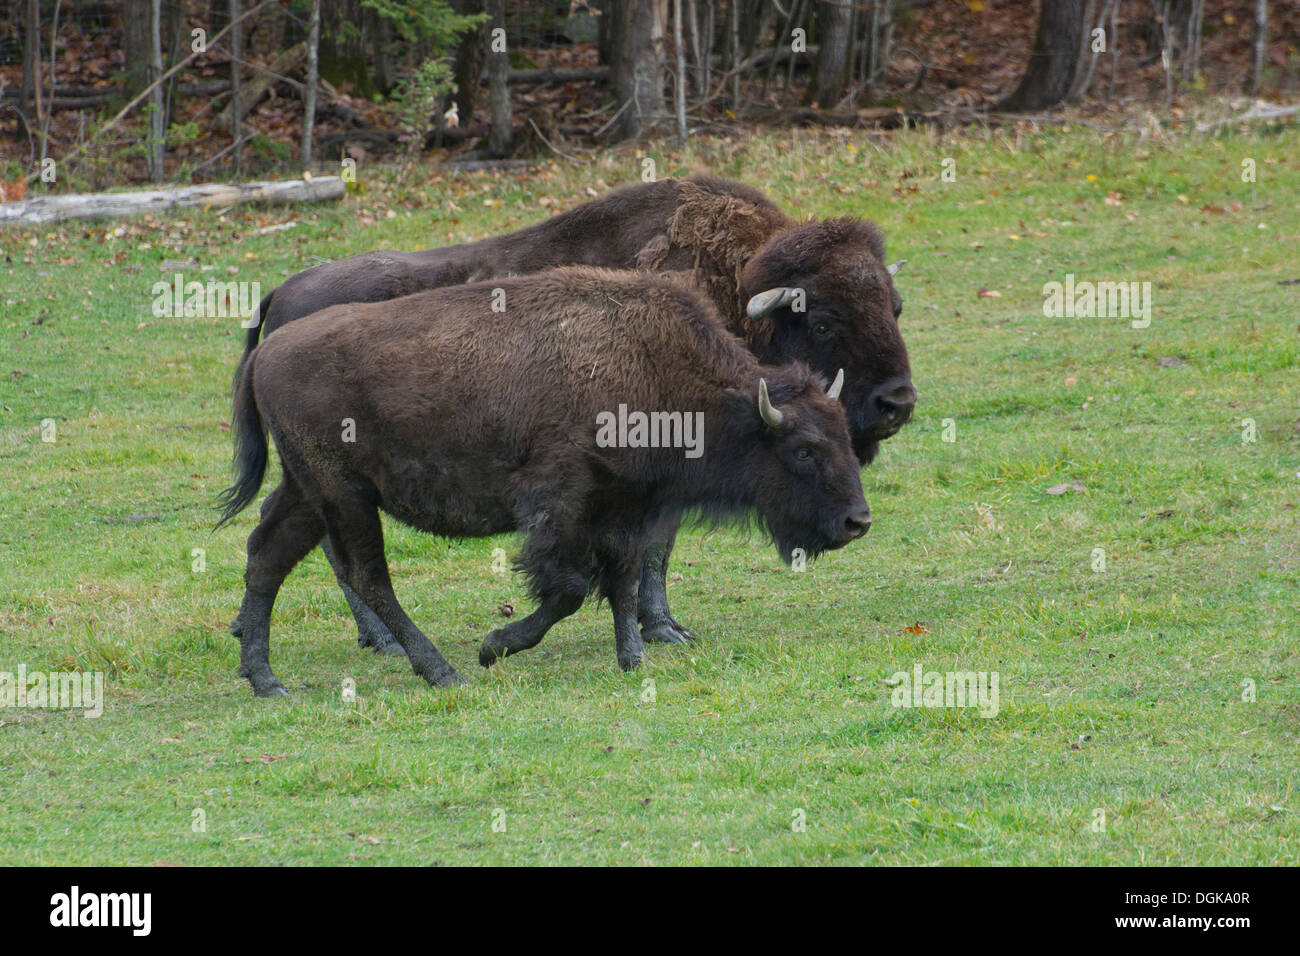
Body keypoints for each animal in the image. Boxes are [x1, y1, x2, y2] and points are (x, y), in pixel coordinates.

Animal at [219, 268, 870, 696]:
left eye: (843, 437)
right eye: (804, 450)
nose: (857, 521)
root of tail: (266, 353)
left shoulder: (627, 510)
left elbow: (623, 582)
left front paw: (634, 660)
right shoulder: (559, 504)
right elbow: (570, 590)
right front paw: (494, 645)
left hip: (310, 492)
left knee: (266, 555)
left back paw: (266, 679)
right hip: (346, 494)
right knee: (365, 575)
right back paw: (443, 671)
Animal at [233, 176, 912, 653]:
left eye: (895, 305)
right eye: (822, 320)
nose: (897, 402)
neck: (734, 283)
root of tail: (282, 292)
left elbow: (648, 546)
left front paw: (658, 627)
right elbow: (649, 549)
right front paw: (661, 627)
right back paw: (378, 640)